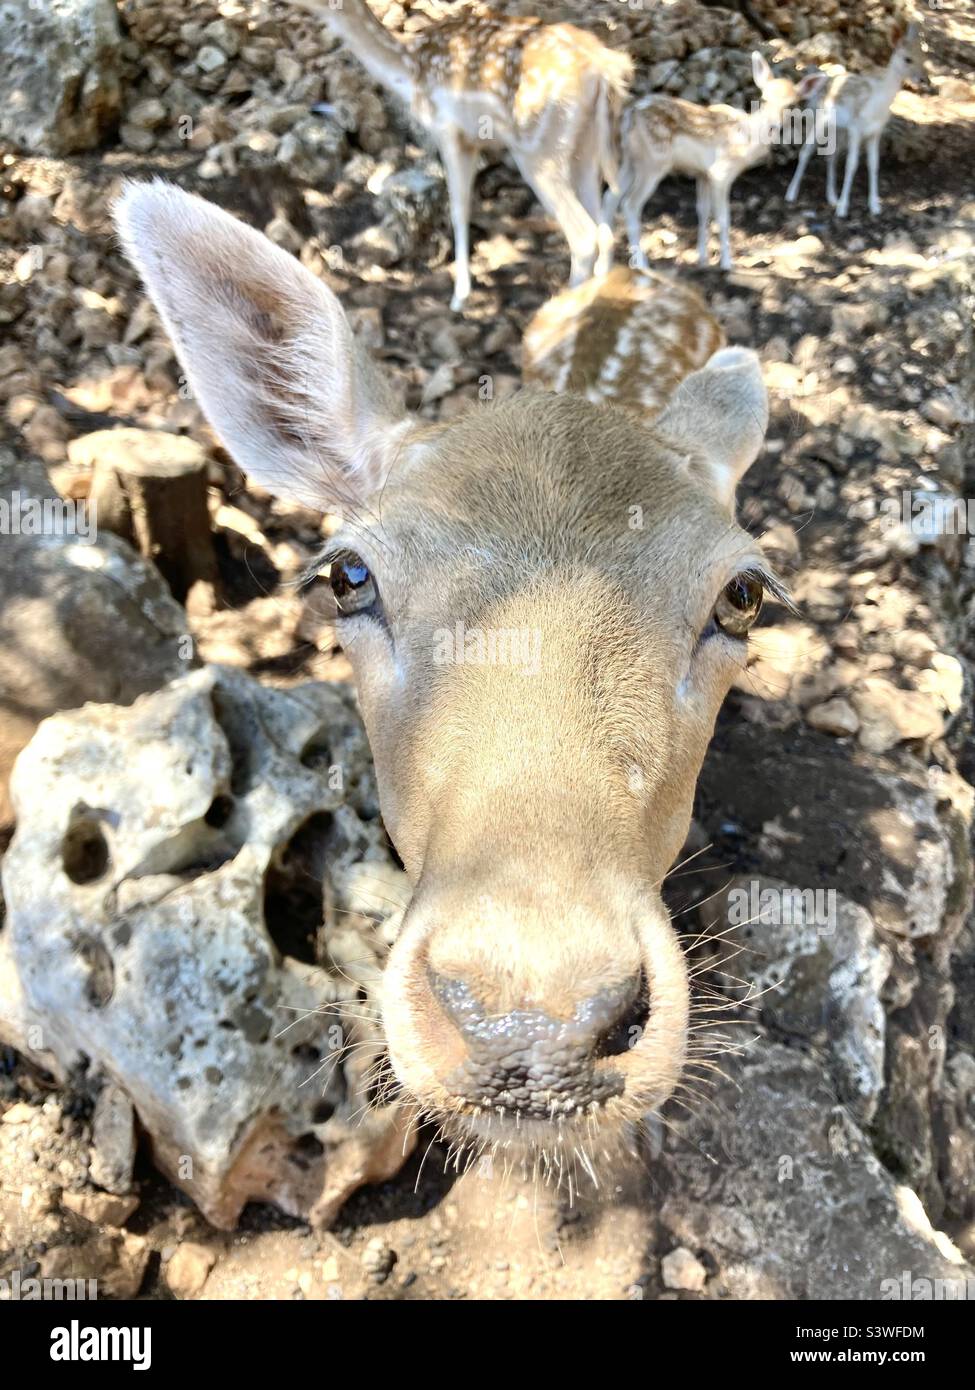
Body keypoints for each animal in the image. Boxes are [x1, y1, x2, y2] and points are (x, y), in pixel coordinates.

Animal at [291, 0, 632, 310]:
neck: (409, 69)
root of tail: (603, 72)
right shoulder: (471, 140)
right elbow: (465, 207)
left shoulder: (448, 131)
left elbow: (458, 209)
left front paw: (459, 298)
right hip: (586, 147)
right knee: (604, 224)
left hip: (539, 150)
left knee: (584, 234)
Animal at [600, 54, 827, 273]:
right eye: (763, 99)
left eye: (791, 105)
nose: (775, 126)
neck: (747, 140)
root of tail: (630, 114)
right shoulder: (721, 171)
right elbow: (723, 218)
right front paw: (726, 264)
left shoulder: (703, 173)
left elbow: (703, 212)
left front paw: (702, 261)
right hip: (653, 162)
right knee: (630, 204)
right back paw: (641, 264)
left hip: (630, 161)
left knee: (610, 197)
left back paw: (604, 262)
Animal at [784, 22, 925, 218]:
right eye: (908, 59)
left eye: (924, 57)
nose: (923, 79)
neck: (876, 105)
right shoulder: (855, 128)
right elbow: (852, 164)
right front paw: (843, 209)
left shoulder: (875, 132)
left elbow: (874, 164)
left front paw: (875, 206)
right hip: (820, 119)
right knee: (806, 151)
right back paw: (791, 194)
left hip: (838, 130)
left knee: (831, 156)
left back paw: (832, 197)